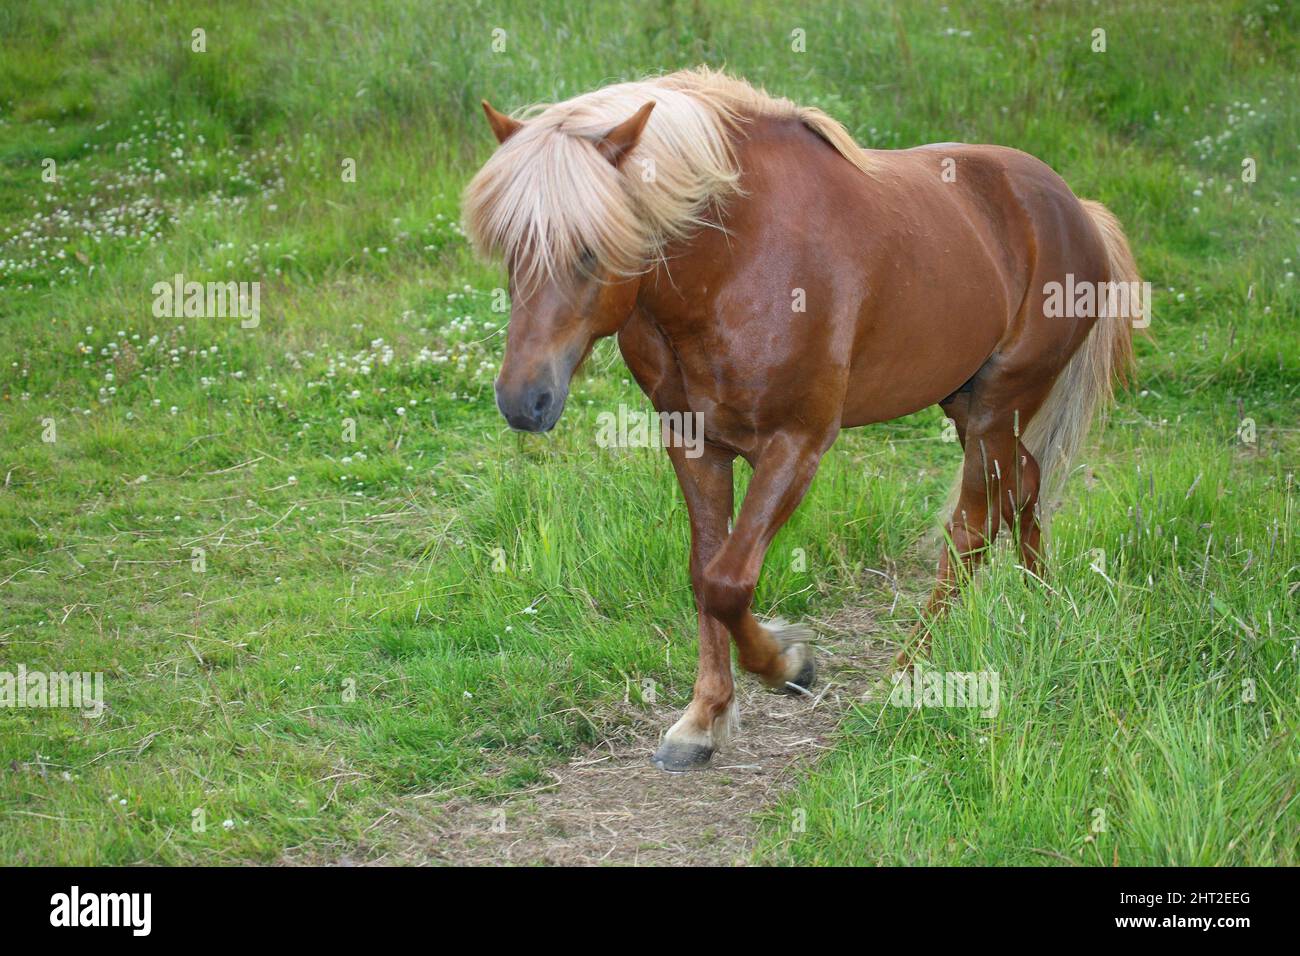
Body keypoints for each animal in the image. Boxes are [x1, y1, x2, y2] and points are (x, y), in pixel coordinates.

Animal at [463, 68, 1140, 772]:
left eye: (591, 249)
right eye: (508, 249)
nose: (522, 400)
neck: (735, 260)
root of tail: (1076, 208)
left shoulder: (796, 446)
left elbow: (729, 582)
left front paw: (789, 664)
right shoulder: (694, 443)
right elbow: (703, 573)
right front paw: (703, 718)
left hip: (998, 405)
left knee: (972, 528)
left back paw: (905, 675)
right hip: (971, 405)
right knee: (1024, 487)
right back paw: (1042, 611)